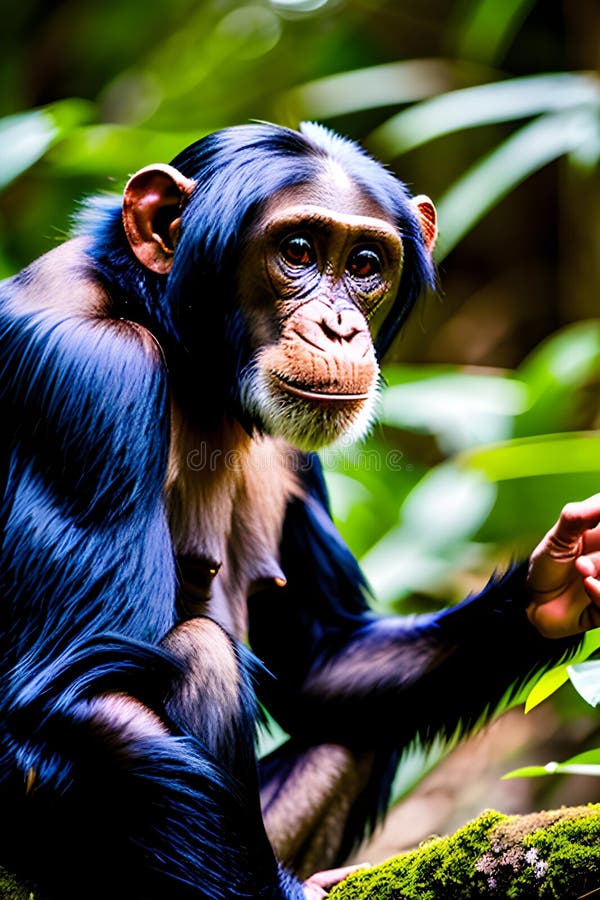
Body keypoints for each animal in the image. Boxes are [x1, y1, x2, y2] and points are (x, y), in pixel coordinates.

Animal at [0, 120, 598, 899]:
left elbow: (323, 664)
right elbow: (83, 693)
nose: (341, 325)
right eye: (299, 253)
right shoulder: (93, 374)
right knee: (199, 661)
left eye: (366, 264)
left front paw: (558, 582)